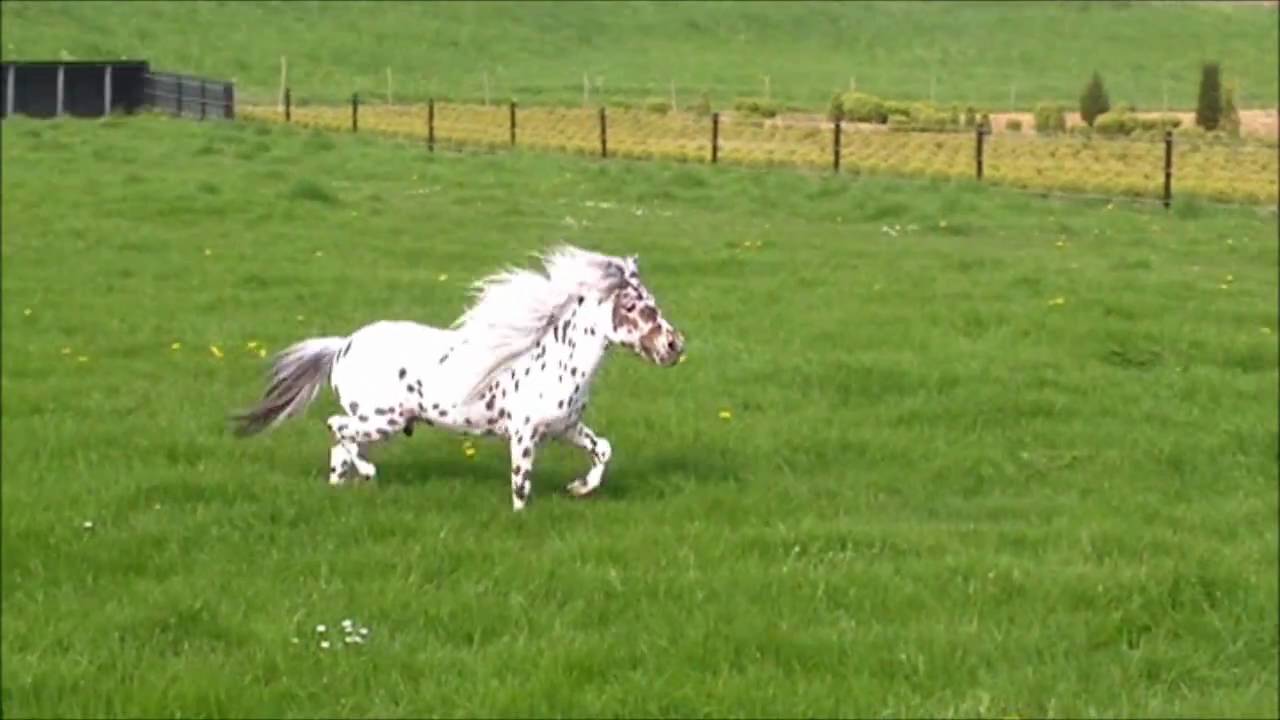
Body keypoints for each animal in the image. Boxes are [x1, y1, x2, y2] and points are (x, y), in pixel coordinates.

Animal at [230, 244, 686, 511]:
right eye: (633, 307)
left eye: (653, 302)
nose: (675, 346)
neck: (553, 363)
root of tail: (343, 346)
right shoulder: (524, 434)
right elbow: (521, 485)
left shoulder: (564, 427)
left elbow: (603, 450)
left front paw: (579, 488)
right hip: (383, 419)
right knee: (337, 428)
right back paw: (369, 475)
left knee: (339, 450)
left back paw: (342, 490)